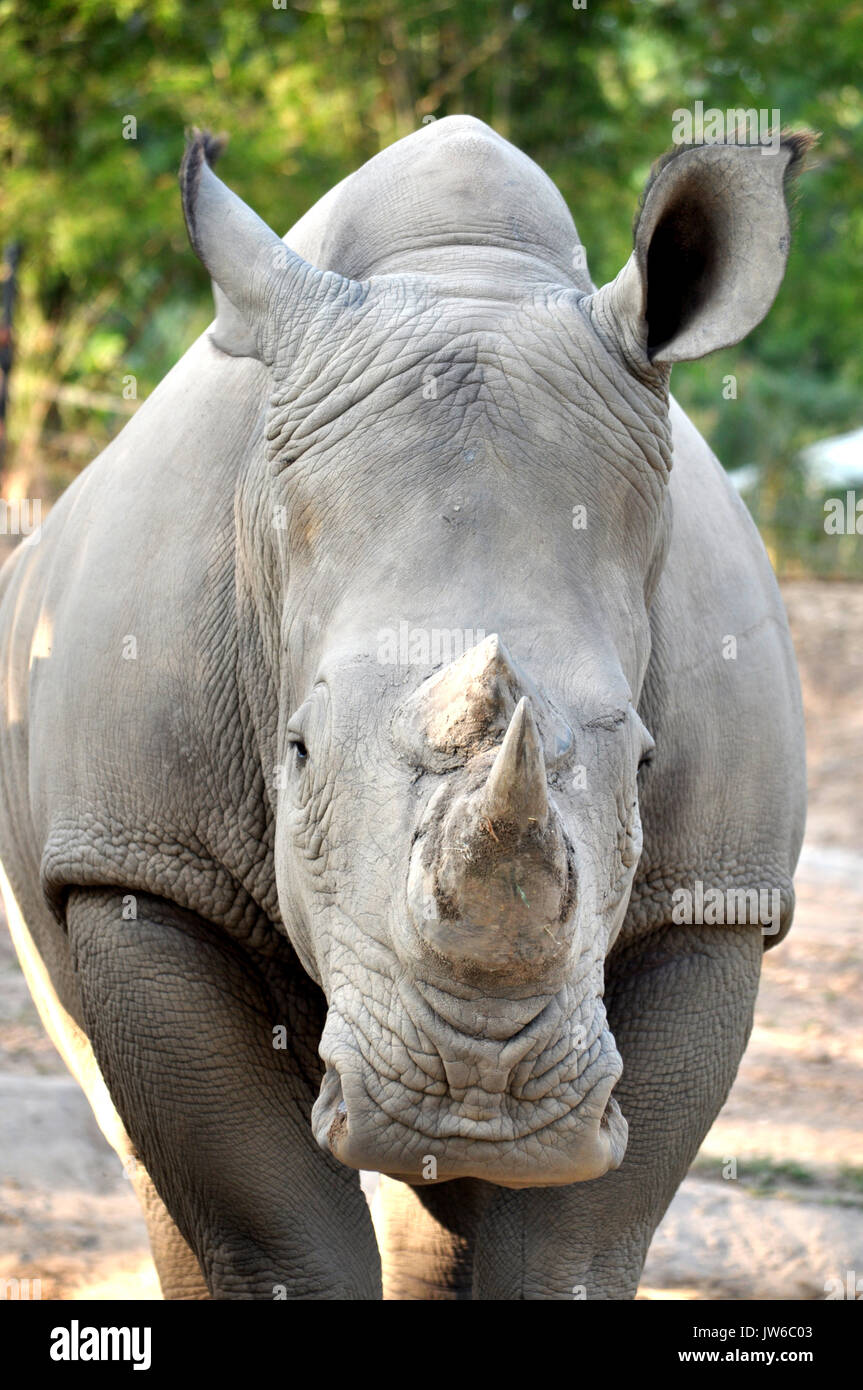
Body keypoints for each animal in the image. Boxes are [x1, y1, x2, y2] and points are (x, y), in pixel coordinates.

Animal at [0, 116, 809, 1299]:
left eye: (648, 764)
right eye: (293, 752)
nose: (476, 1093)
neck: (461, 273)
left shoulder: (715, 896)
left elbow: (573, 1242)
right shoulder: (139, 856)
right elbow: (271, 1225)